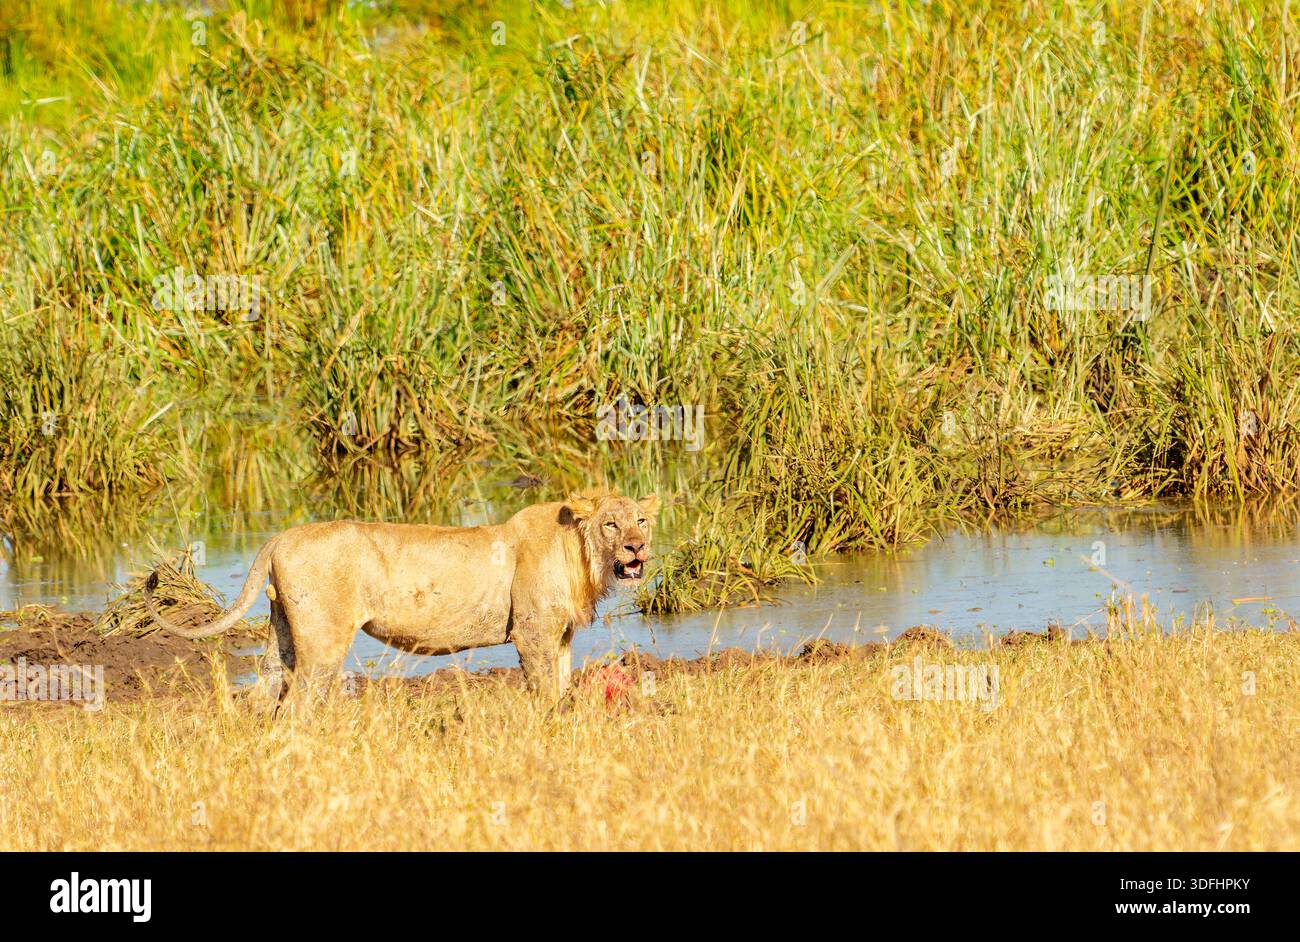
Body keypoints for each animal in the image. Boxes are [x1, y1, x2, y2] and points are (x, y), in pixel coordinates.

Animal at [144, 491, 660, 701]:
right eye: (611, 524)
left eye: (641, 520)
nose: (636, 546)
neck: (582, 556)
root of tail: (279, 536)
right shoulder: (533, 633)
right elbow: (545, 688)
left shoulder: (562, 635)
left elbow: (564, 683)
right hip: (324, 639)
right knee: (299, 702)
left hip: (282, 633)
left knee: (268, 690)